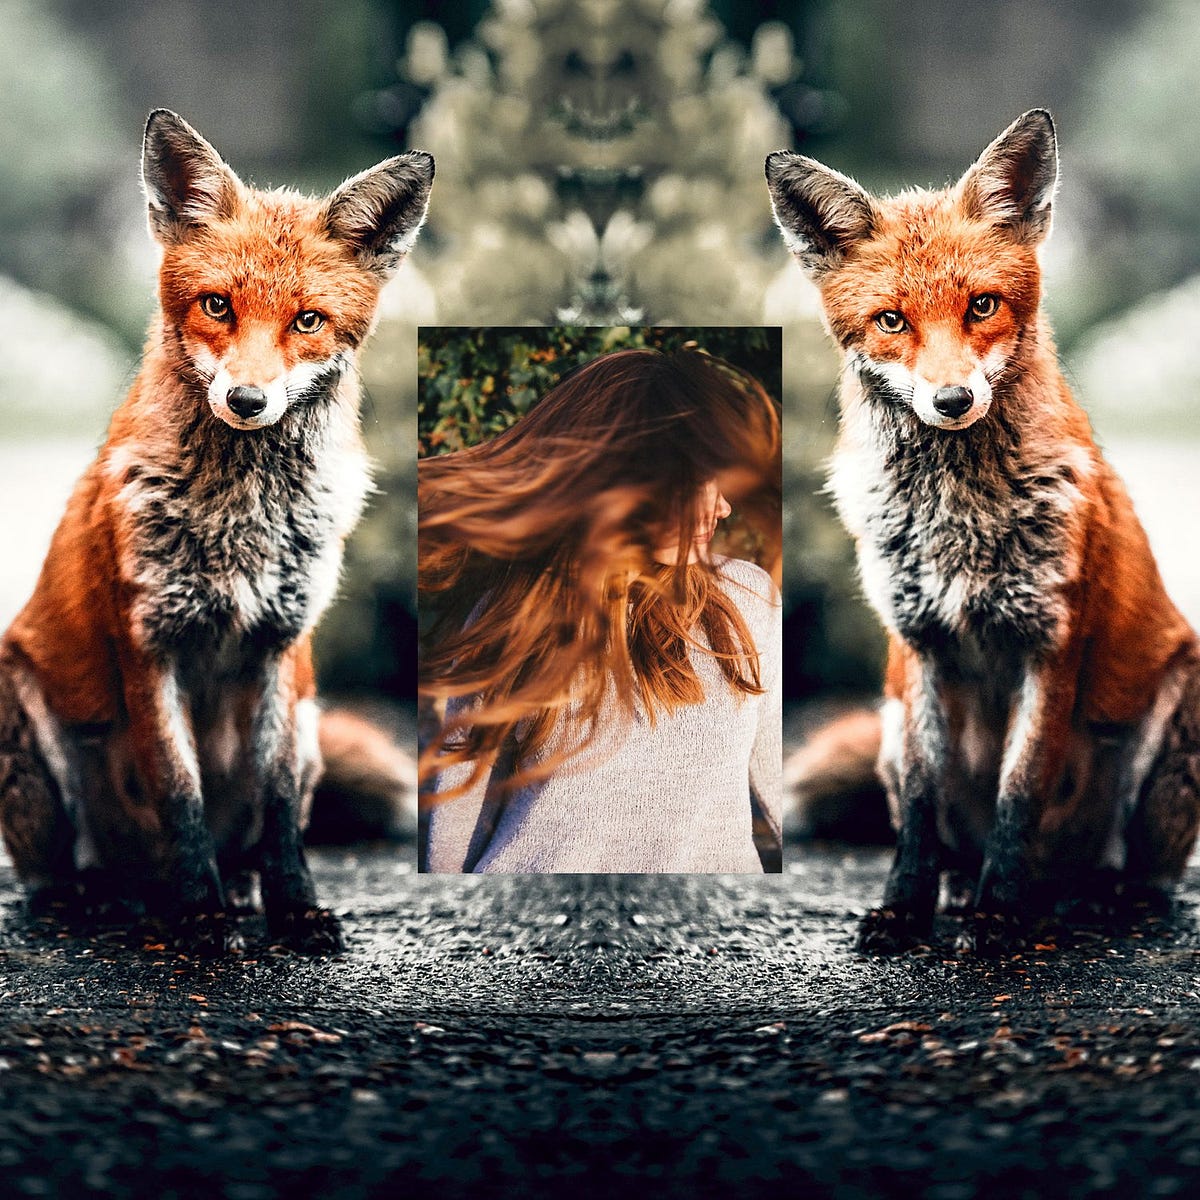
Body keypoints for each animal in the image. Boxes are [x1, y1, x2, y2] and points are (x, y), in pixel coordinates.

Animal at [0, 110, 433, 955]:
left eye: (307, 320)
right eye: (217, 306)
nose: (246, 400)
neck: (243, 521)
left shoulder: (282, 647)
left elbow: (278, 811)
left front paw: (294, 908)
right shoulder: (149, 643)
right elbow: (180, 792)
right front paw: (199, 918)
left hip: (310, 721)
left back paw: (225, 889)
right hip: (25, 715)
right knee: (53, 874)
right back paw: (100, 897)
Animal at [766, 110, 1200, 955]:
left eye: (982, 306)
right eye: (892, 320)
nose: (953, 401)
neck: (956, 521)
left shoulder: (1050, 643)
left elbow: (1019, 792)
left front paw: (1000, 918)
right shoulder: (917, 647)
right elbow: (922, 811)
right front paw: (906, 908)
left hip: (1174, 714)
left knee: (1144, 875)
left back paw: (1094, 897)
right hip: (888, 721)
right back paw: (973, 890)